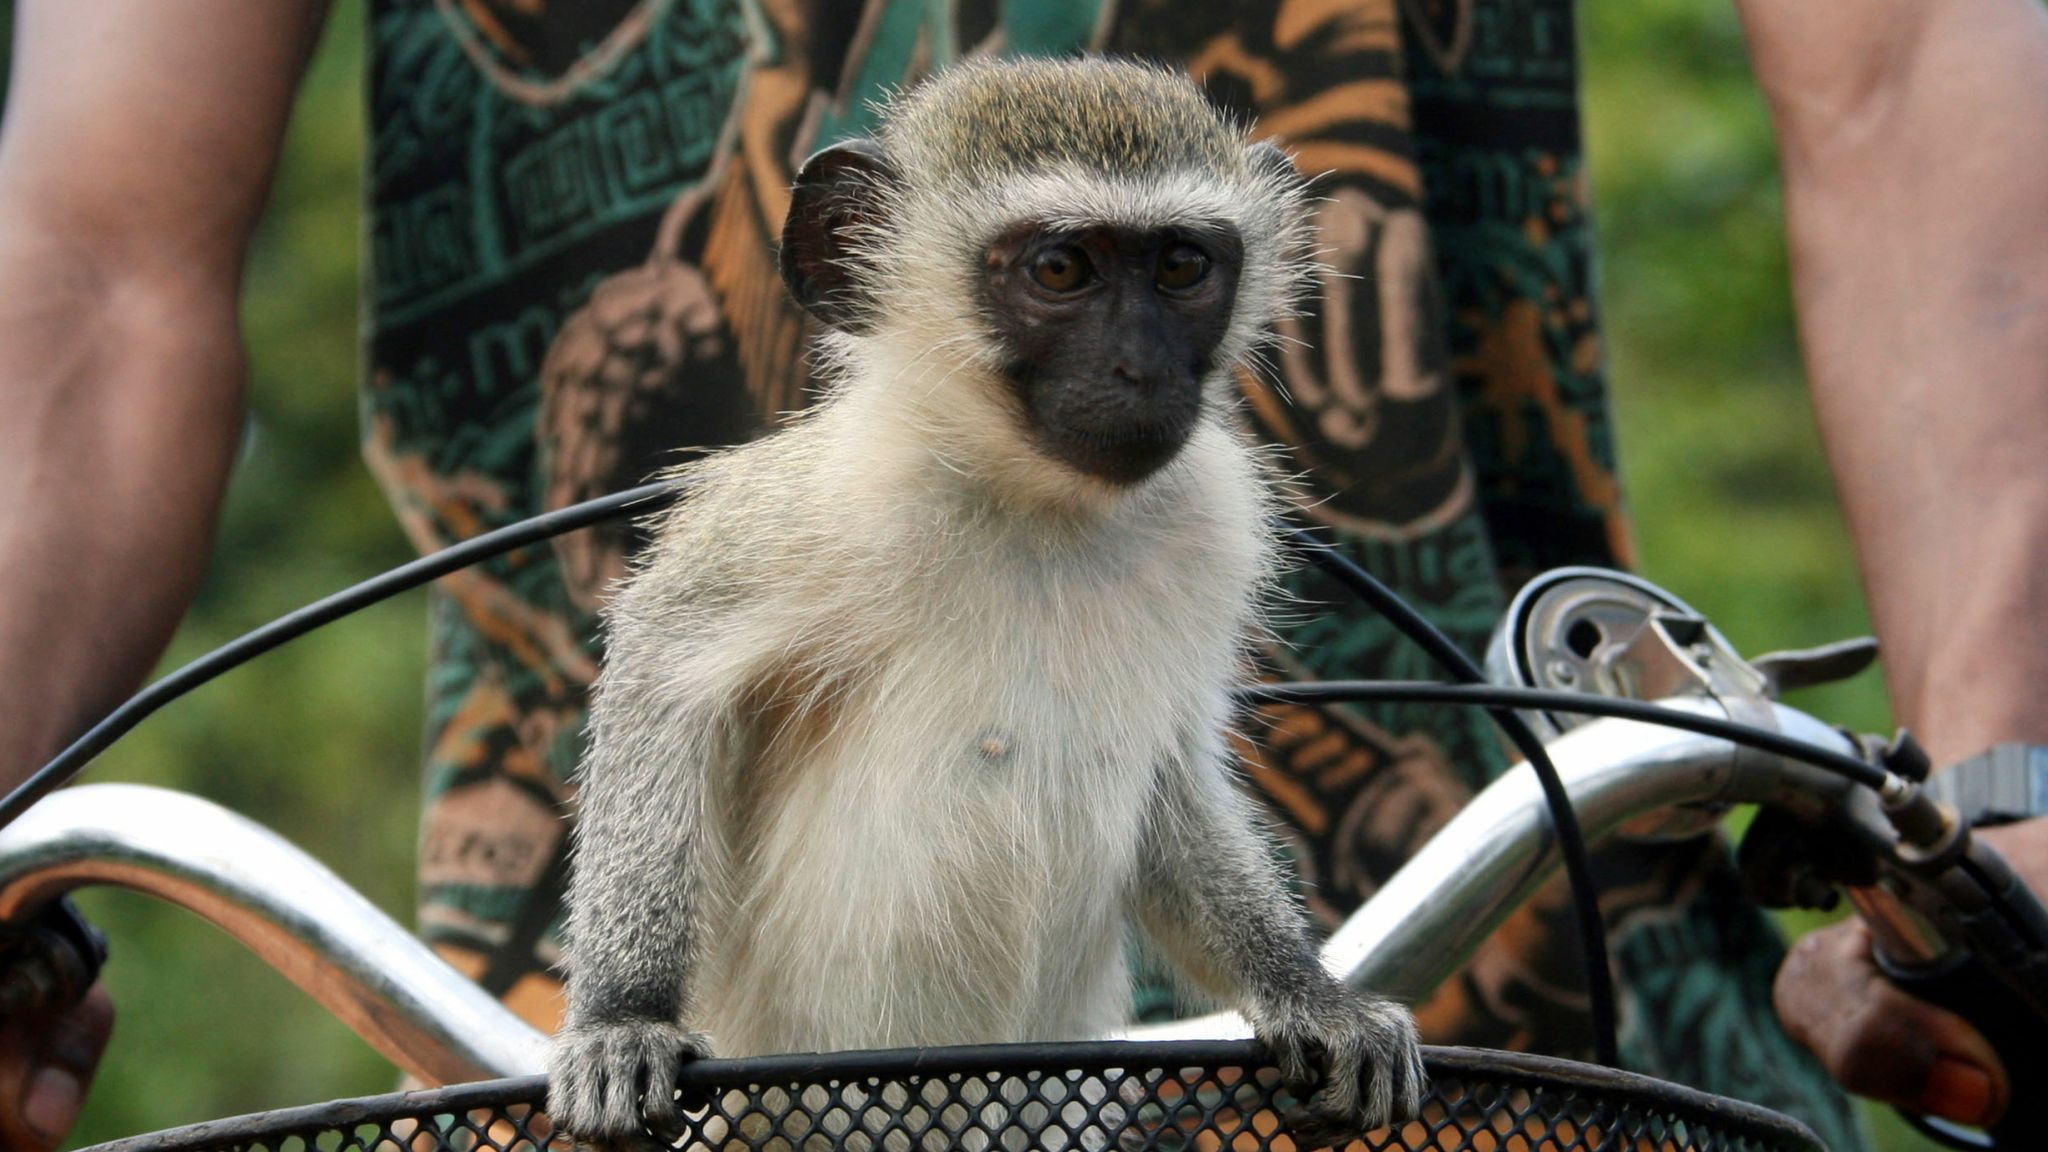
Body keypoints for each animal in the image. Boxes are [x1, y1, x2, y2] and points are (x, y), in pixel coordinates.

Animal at [544, 56, 1425, 1151]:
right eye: (1060, 271)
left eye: (1181, 266)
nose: (1142, 370)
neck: (1034, 503)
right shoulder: (813, 510)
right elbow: (663, 670)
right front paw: (623, 1016)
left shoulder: (1212, 522)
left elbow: (1172, 775)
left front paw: (1308, 992)